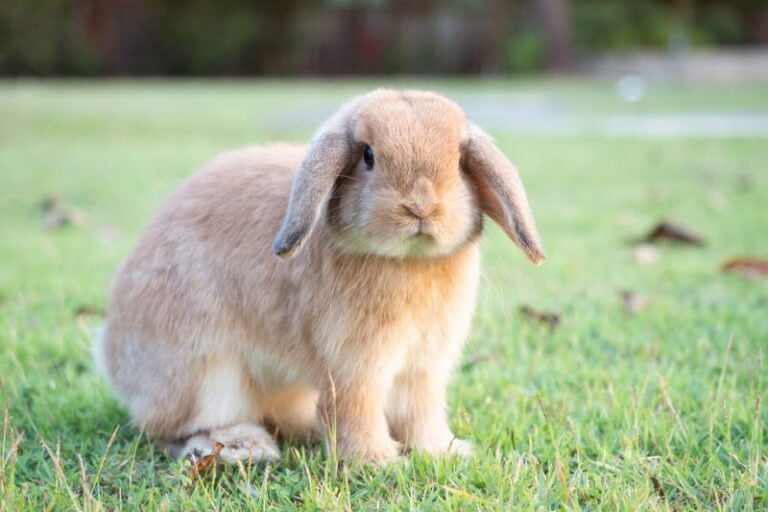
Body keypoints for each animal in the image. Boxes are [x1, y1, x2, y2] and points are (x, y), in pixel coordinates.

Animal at [95, 88, 544, 465]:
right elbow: (357, 409)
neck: (408, 261)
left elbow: (422, 414)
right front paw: (376, 462)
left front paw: (445, 452)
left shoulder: (423, 368)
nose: (420, 206)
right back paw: (242, 447)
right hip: (206, 376)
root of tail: (112, 354)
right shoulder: (354, 367)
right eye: (368, 156)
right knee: (170, 429)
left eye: (458, 161)